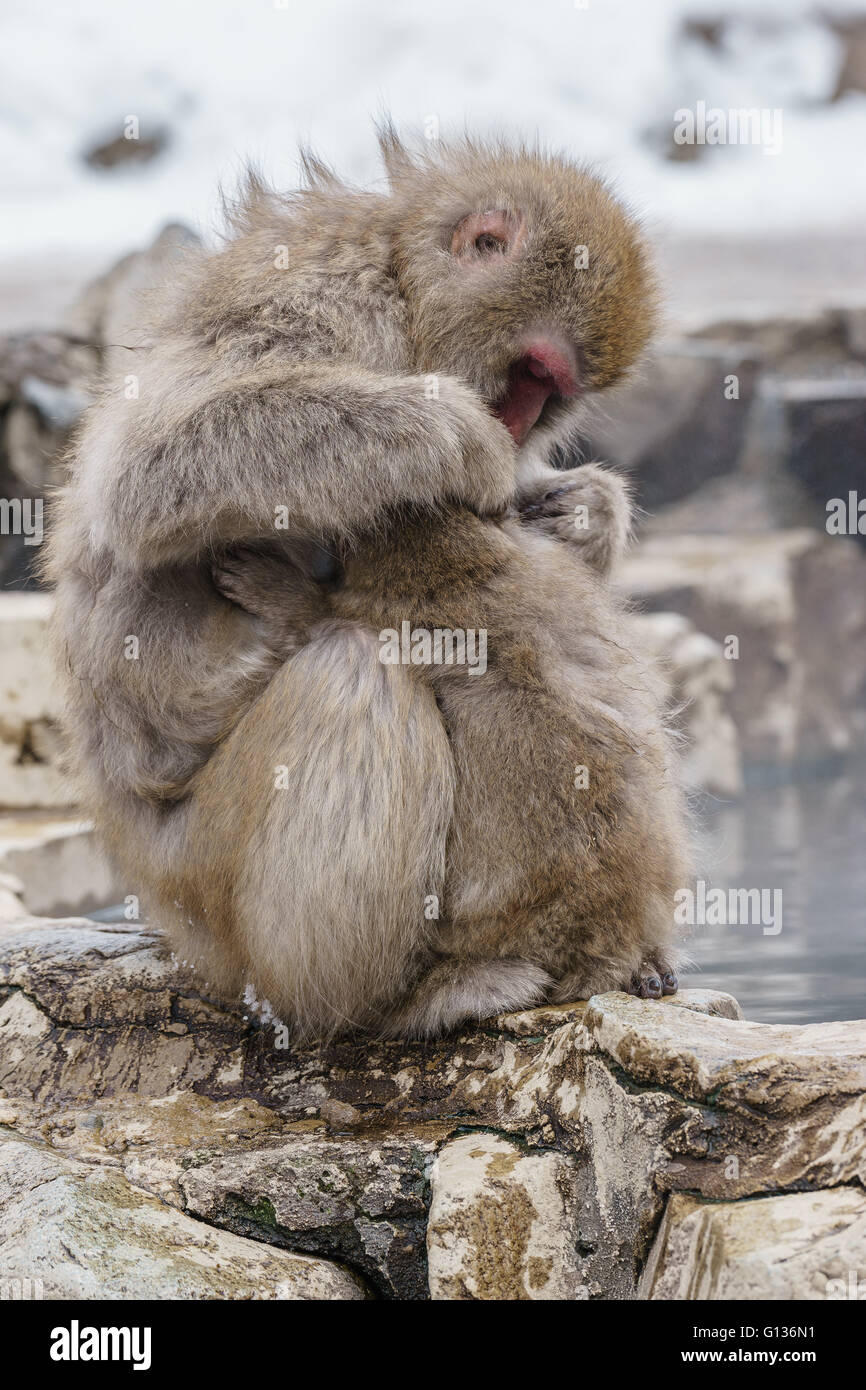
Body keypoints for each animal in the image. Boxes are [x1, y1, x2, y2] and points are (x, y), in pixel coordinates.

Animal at [48, 129, 690, 1040]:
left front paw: (586, 513)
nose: (517, 424)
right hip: (197, 886)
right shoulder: (327, 300)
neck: (404, 285)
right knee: (352, 675)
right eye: (530, 370)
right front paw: (459, 437)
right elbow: (152, 466)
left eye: (553, 393)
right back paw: (382, 1003)